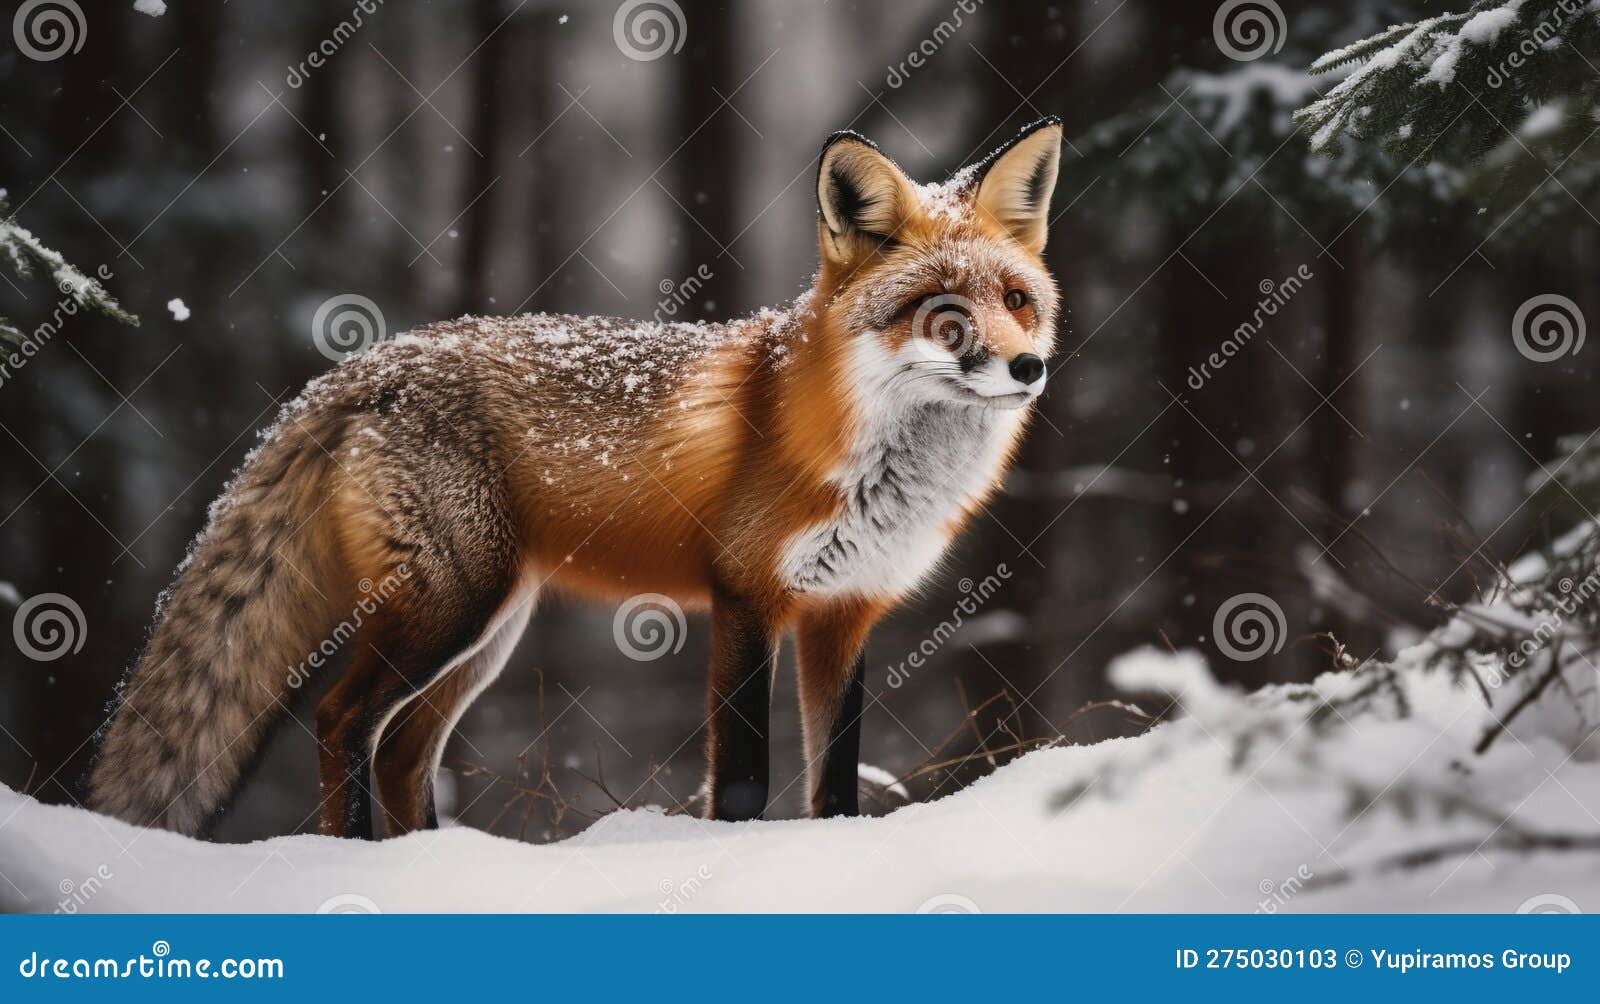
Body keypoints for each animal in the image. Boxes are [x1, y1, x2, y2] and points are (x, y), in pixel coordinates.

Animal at [86, 116, 1064, 838]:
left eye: (1017, 302)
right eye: (943, 316)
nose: (1029, 368)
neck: (875, 466)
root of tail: (369, 362)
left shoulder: (844, 613)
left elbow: (835, 789)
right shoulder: (746, 597)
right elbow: (744, 780)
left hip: (488, 627)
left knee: (402, 750)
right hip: (452, 606)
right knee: (340, 722)